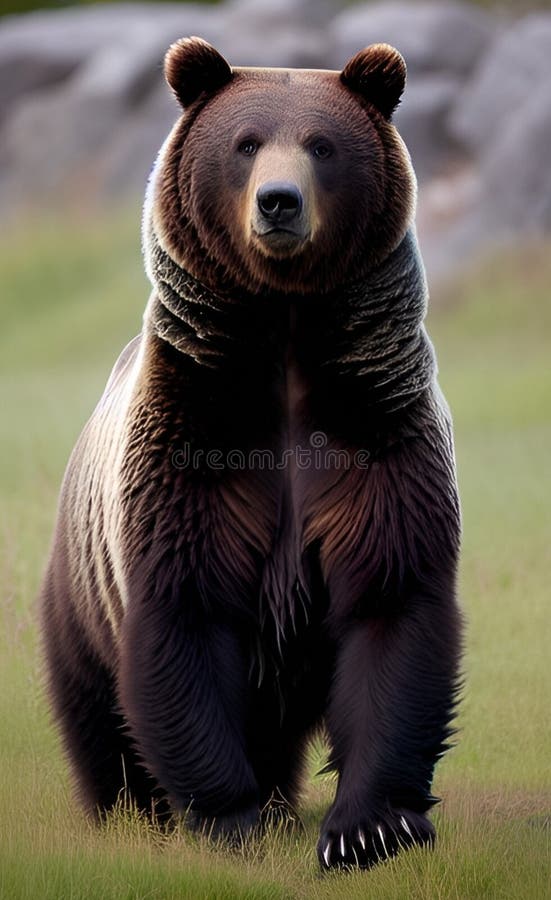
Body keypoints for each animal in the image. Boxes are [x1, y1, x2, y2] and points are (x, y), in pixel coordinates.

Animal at [39, 37, 462, 871]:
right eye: (244, 143)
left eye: (322, 146)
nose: (278, 202)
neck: (286, 331)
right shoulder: (194, 438)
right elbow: (186, 613)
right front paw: (231, 821)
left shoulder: (376, 426)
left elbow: (391, 599)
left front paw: (366, 828)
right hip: (77, 597)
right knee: (99, 722)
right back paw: (130, 812)